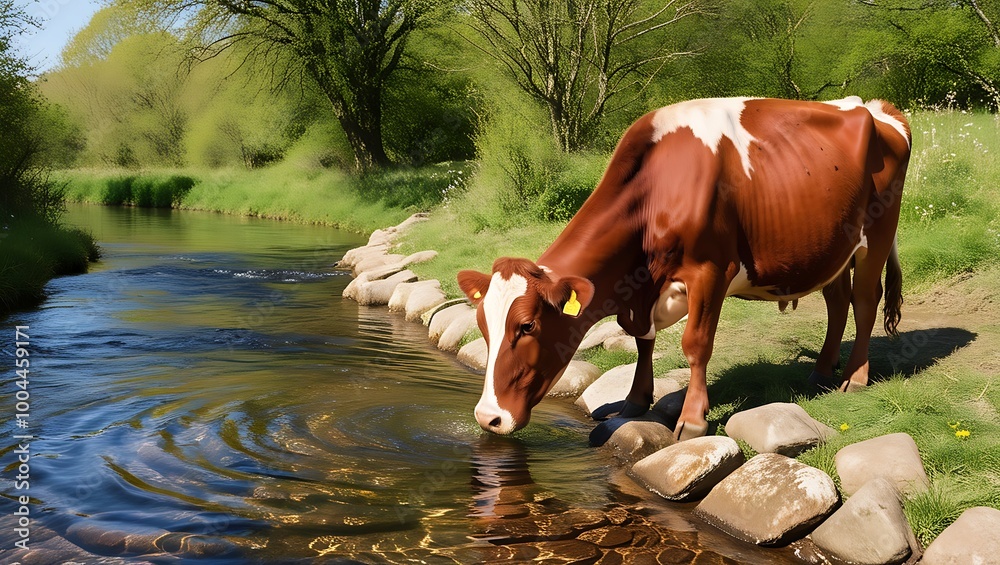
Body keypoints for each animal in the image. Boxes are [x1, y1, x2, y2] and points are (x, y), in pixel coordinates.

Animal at [458, 96, 911, 440]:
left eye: (527, 326)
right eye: (482, 324)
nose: (488, 417)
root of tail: (873, 106)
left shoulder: (710, 271)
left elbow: (696, 344)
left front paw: (692, 419)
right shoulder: (641, 295)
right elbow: (642, 341)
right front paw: (635, 402)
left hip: (877, 236)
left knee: (865, 301)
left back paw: (855, 377)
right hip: (832, 248)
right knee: (837, 300)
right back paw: (821, 371)